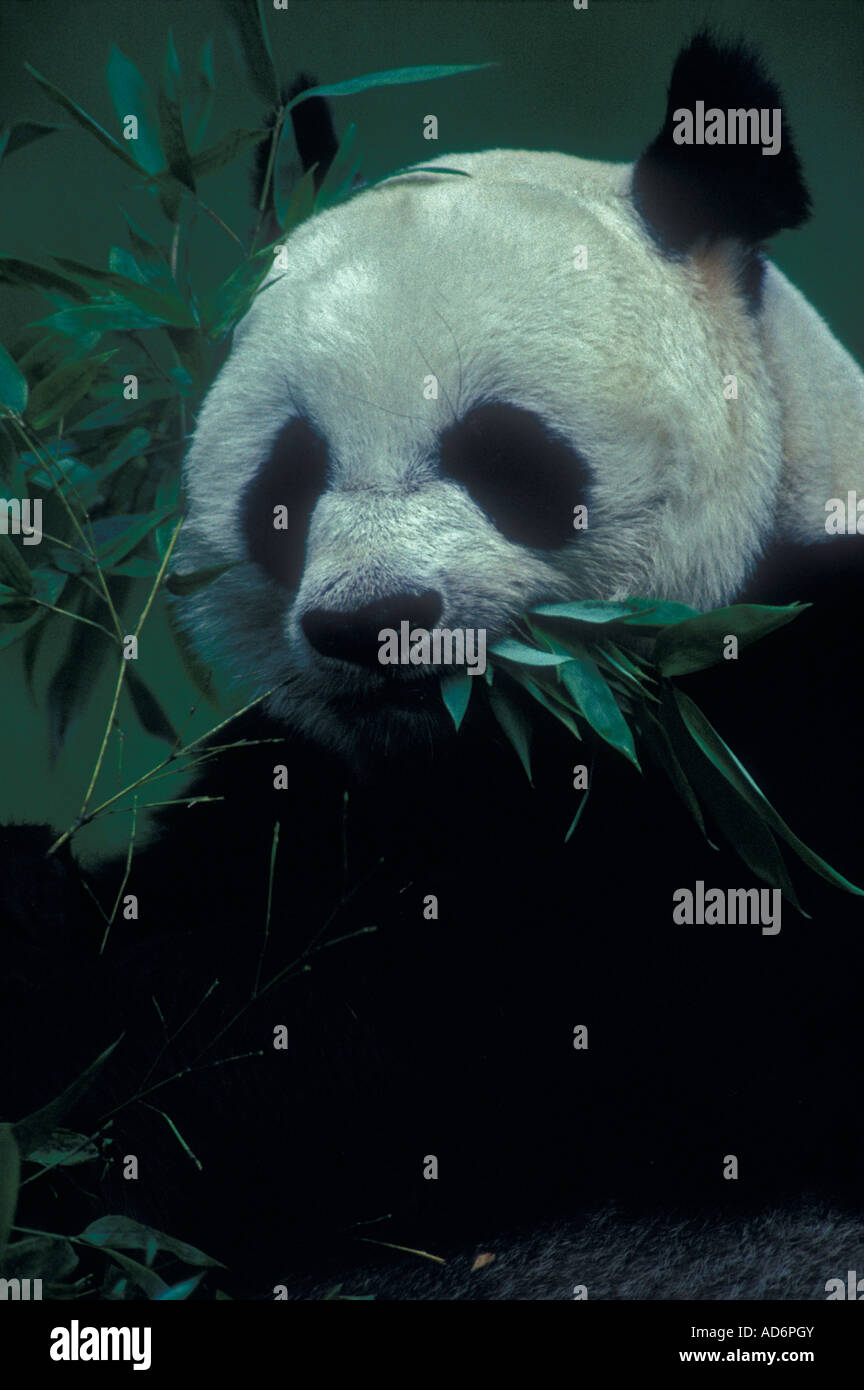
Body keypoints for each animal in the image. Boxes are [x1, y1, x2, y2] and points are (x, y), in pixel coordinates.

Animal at [3, 33, 863, 1301]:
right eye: (287, 480)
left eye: (504, 454)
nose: (376, 623)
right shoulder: (306, 782)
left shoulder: (784, 754)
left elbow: (514, 1035)